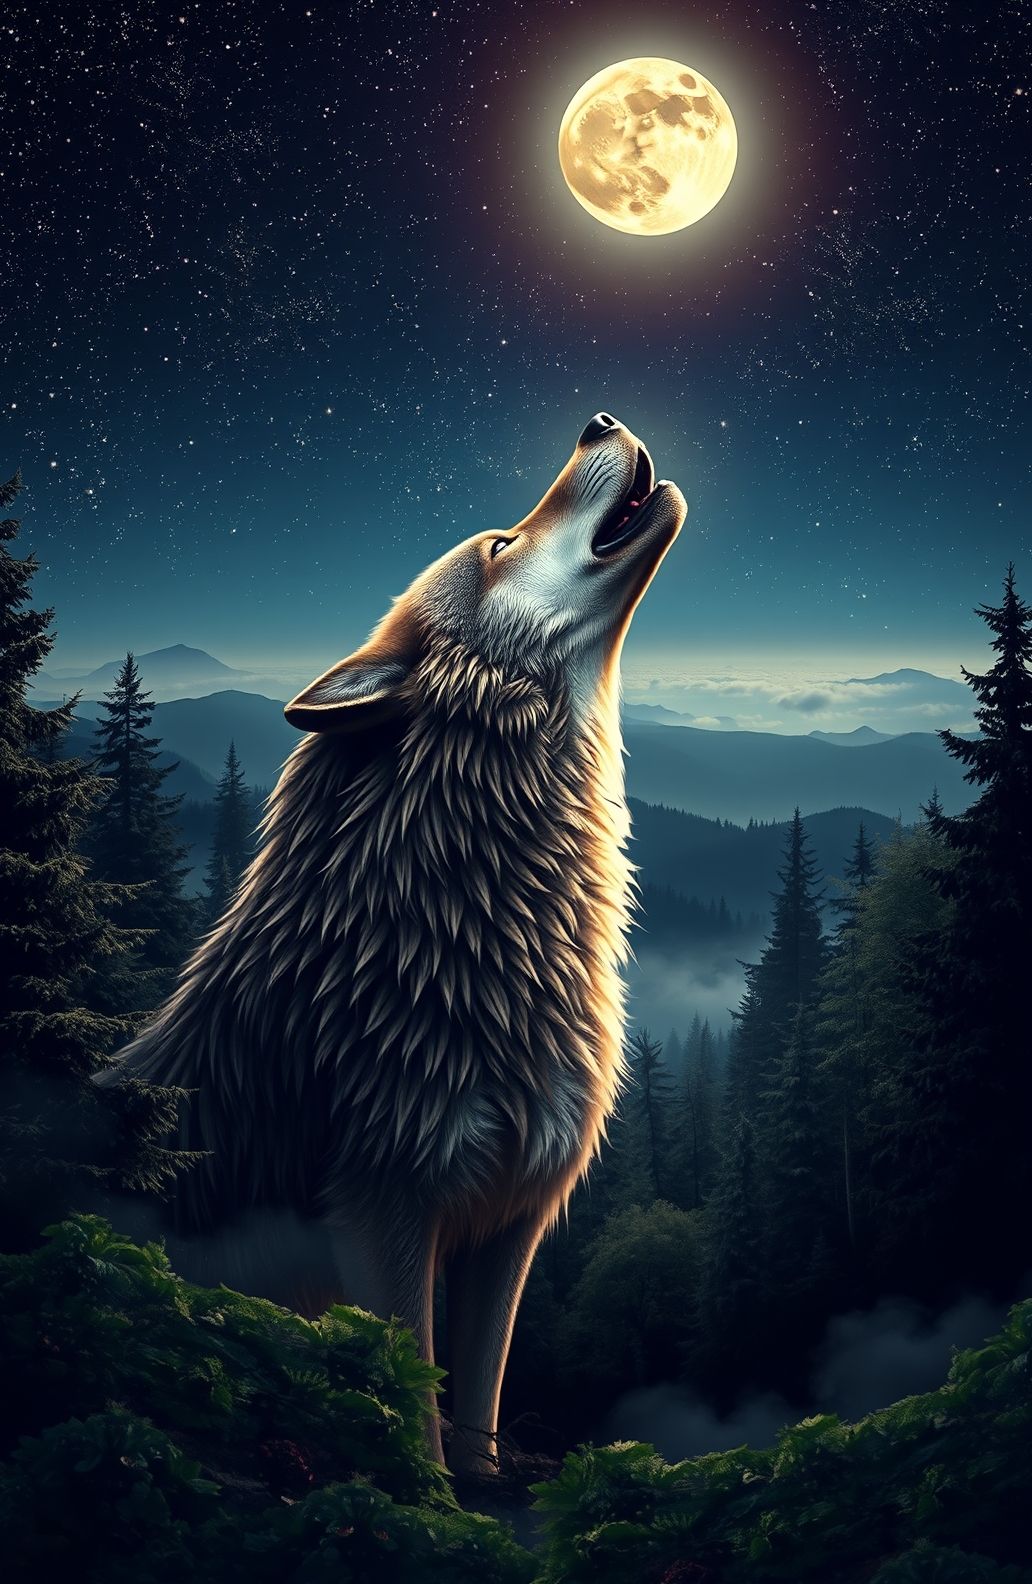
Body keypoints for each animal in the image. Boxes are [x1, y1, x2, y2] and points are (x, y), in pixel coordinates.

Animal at [97, 413, 686, 1474]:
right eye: (499, 545)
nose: (600, 421)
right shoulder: (382, 1215)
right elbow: (417, 1406)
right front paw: (433, 1497)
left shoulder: (516, 1219)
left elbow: (481, 1393)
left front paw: (487, 1483)